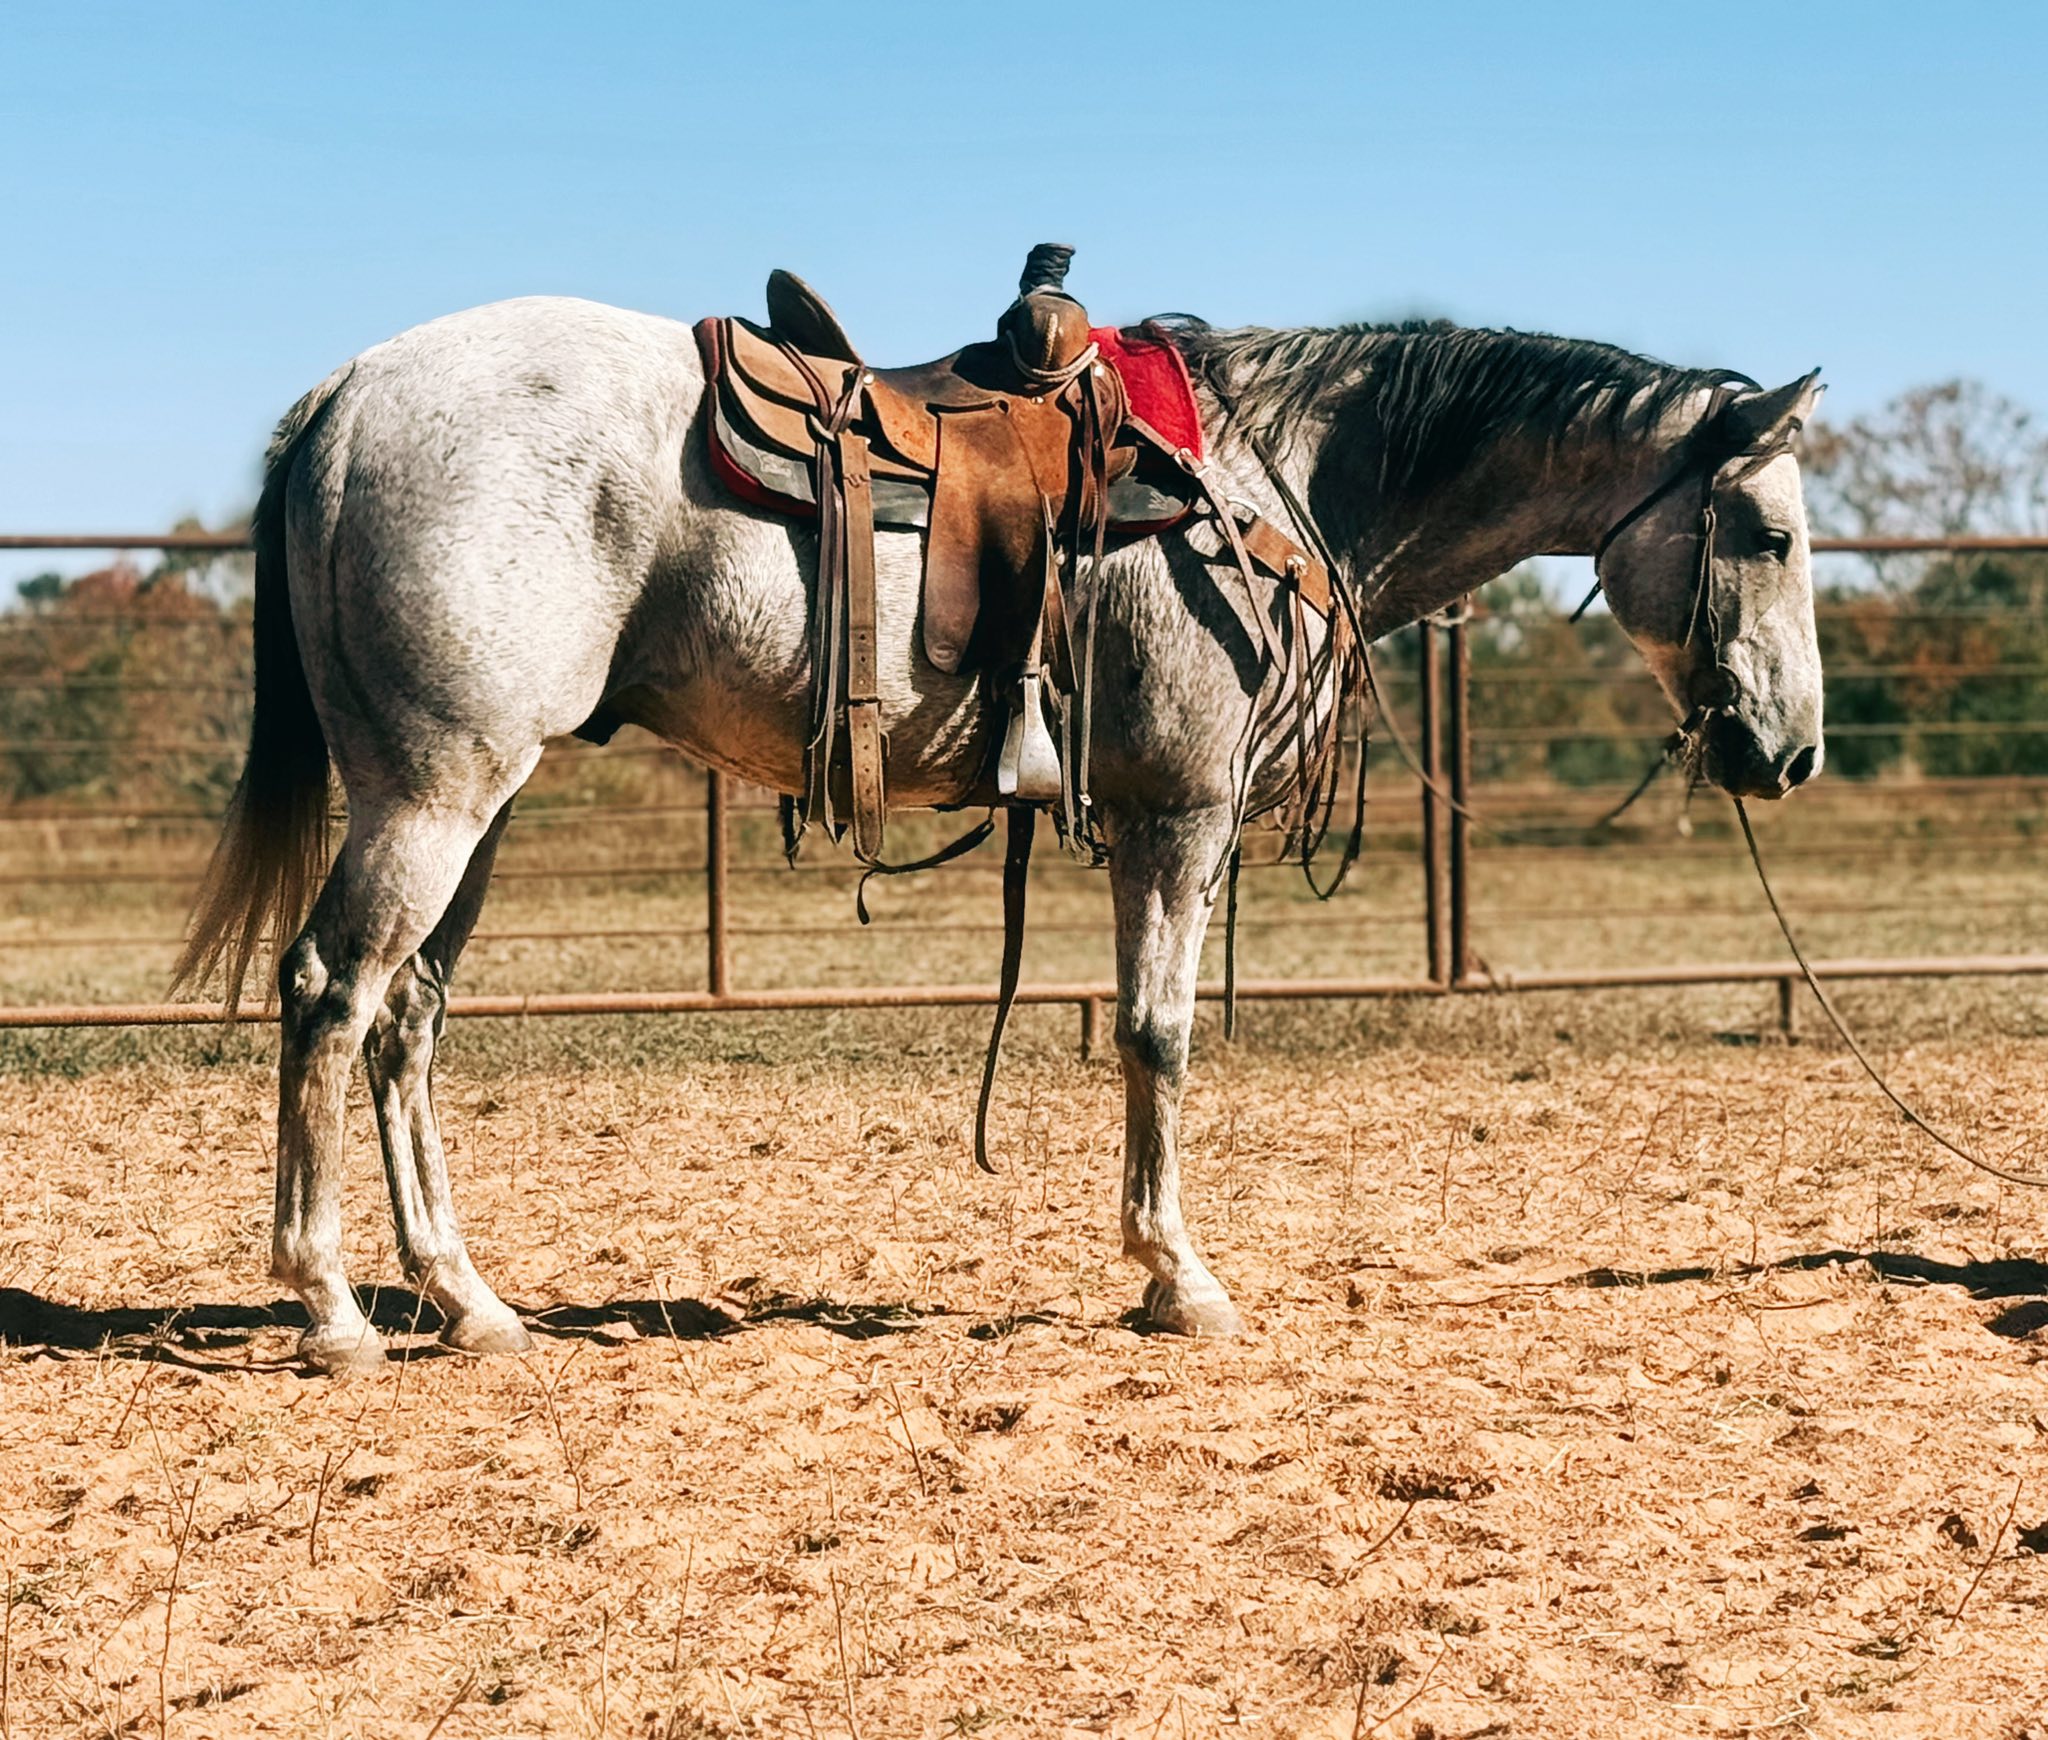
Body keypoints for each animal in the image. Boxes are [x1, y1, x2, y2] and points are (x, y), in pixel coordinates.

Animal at [175, 292, 1824, 1374]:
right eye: (1769, 534)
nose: (1793, 750)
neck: (1270, 479)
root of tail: (345, 398)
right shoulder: (1182, 817)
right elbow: (1161, 1037)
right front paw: (1180, 1278)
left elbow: (1139, 1034)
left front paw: (1156, 1271)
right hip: (432, 796)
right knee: (329, 994)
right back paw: (328, 1309)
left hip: (476, 804)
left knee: (408, 1021)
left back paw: (469, 1304)